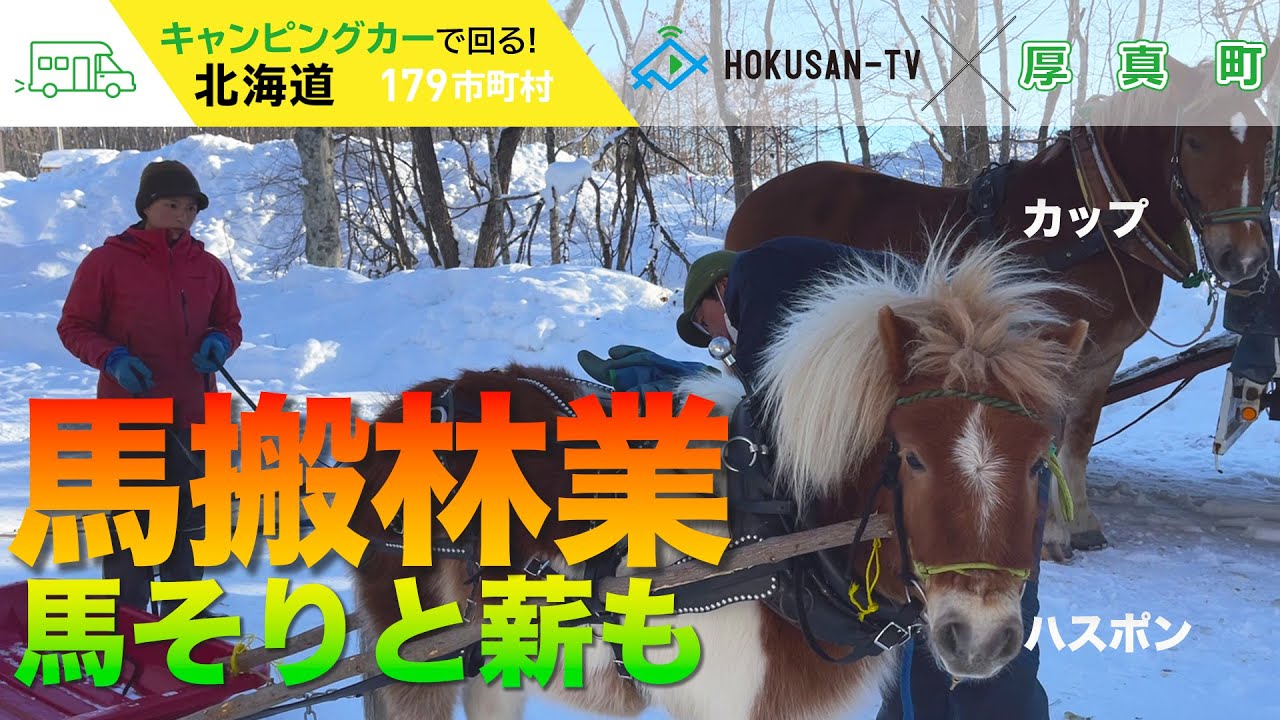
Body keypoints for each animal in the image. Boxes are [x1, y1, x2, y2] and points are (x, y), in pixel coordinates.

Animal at [347, 235, 1092, 720]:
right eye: (910, 455)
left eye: (1038, 459)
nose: (981, 637)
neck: (774, 524)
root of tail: (409, 404)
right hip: (418, 654)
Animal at [723, 47, 1280, 562]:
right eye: (1195, 140)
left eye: (1265, 143)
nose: (1245, 259)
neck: (1093, 221)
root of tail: (754, 200)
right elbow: (1050, 437)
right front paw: (1051, 534)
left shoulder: (1103, 357)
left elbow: (1079, 437)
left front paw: (1082, 523)